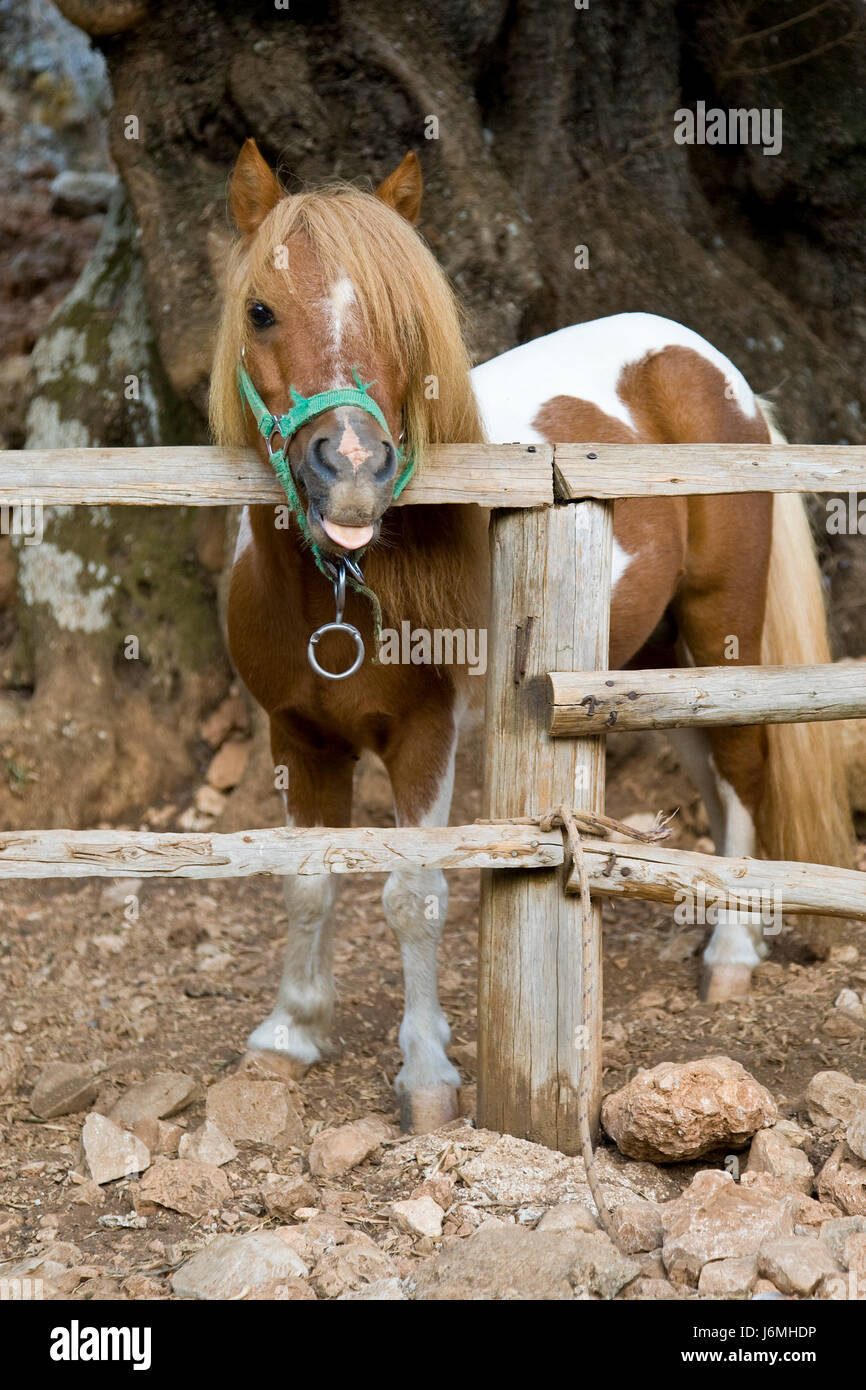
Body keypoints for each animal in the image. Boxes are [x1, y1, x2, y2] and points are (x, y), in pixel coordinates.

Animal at [210, 139, 852, 1132]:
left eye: (406, 322)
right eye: (261, 310)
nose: (351, 471)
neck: (342, 591)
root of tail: (708, 366)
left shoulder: (425, 739)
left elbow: (413, 898)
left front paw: (427, 1077)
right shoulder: (300, 736)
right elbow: (308, 878)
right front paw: (290, 1034)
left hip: (722, 628)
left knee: (744, 765)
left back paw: (733, 953)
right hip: (654, 659)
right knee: (709, 768)